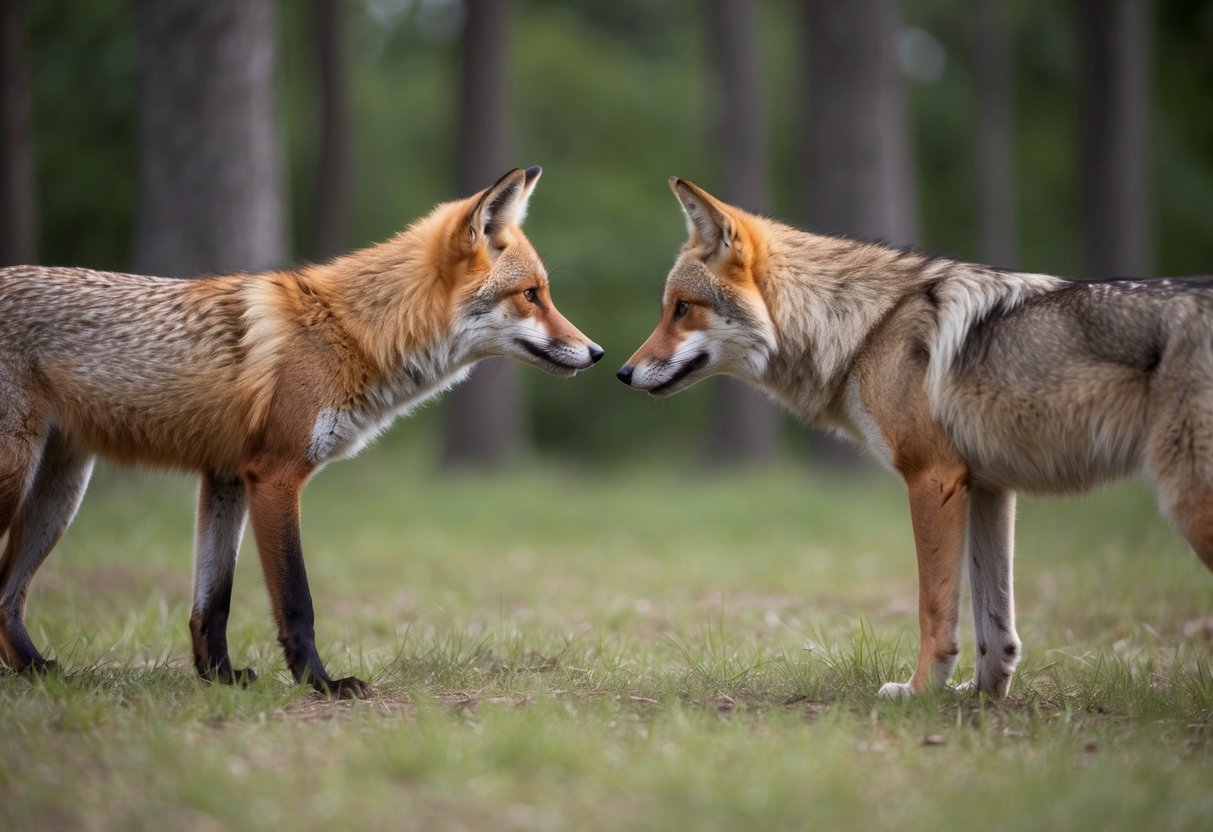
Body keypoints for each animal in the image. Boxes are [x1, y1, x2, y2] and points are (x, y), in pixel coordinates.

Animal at [0, 166, 602, 698]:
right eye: (531, 295)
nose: (597, 353)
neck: (354, 335)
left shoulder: (226, 477)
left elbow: (212, 604)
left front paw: (220, 681)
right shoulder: (275, 475)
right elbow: (297, 600)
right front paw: (321, 684)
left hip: (60, 493)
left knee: (8, 594)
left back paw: (35, 670)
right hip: (18, 478)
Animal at [618, 176, 1213, 699]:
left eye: (681, 309)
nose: (622, 372)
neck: (865, 328)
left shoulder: (933, 479)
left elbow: (934, 608)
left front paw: (921, 691)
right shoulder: (989, 488)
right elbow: (995, 627)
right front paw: (981, 696)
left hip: (1188, 503)